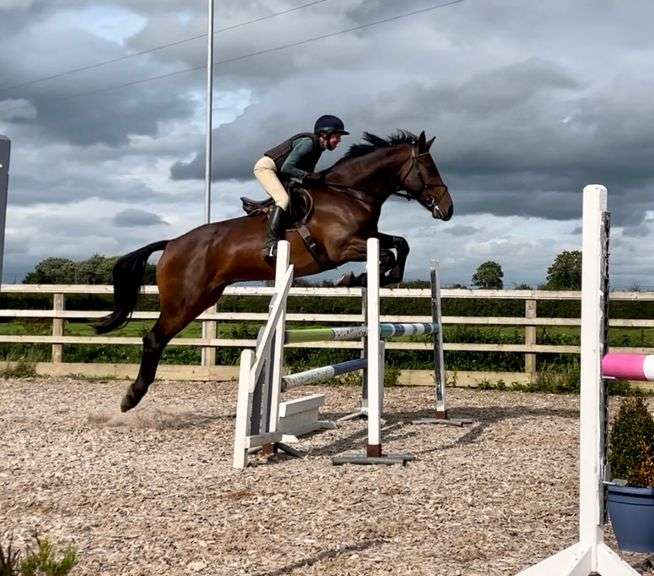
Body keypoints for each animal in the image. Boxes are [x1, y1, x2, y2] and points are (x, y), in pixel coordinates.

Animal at [94, 130, 453, 412]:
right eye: (427, 166)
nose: (448, 210)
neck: (350, 193)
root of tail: (171, 244)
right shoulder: (343, 247)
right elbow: (389, 253)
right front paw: (355, 277)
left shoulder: (370, 237)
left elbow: (401, 244)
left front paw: (370, 277)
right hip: (184, 300)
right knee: (154, 338)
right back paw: (131, 397)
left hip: (204, 298)